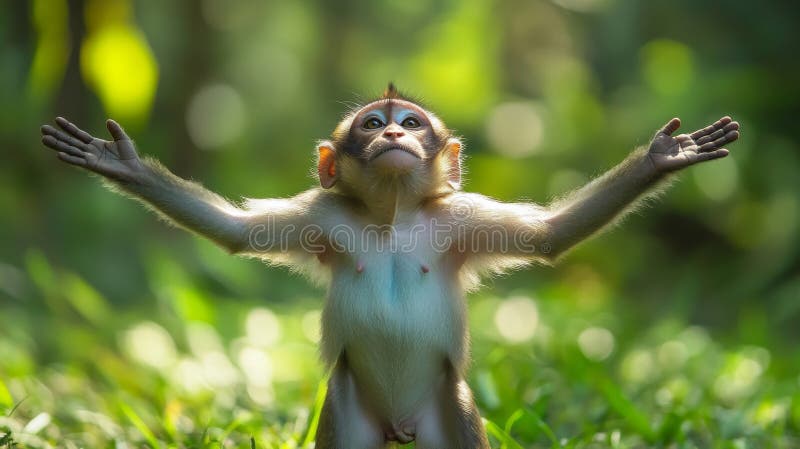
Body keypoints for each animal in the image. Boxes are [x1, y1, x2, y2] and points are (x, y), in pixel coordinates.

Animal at [40, 83, 740, 448]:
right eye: (373, 123)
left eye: (411, 123)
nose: (395, 137)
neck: (396, 215)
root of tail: (400, 428)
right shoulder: (323, 215)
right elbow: (237, 234)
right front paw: (125, 167)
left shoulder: (461, 219)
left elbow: (548, 236)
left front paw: (662, 157)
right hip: (350, 410)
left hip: (448, 410)